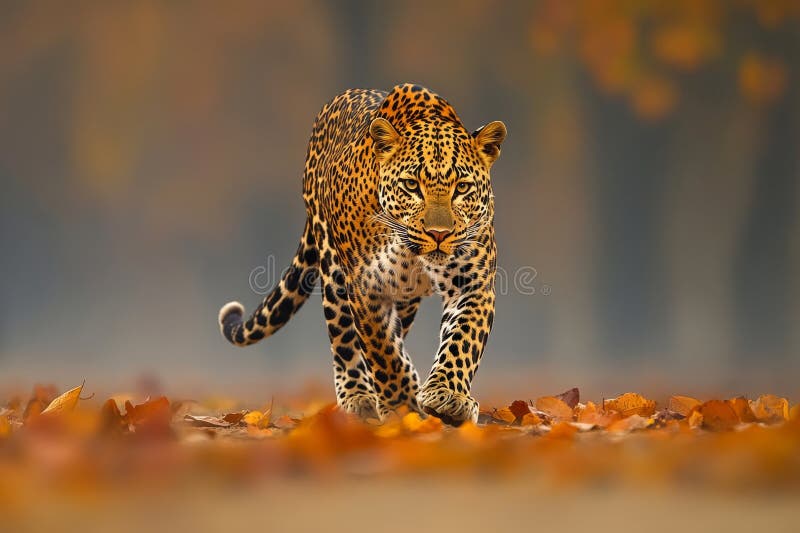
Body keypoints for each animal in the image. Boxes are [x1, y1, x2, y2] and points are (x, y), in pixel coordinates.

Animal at [218, 83, 506, 425]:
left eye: (462, 187)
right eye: (411, 185)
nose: (439, 234)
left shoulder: (473, 282)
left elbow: (463, 339)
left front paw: (448, 396)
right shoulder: (364, 287)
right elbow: (380, 350)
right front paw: (402, 404)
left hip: (406, 300)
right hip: (333, 271)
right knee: (345, 338)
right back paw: (359, 397)